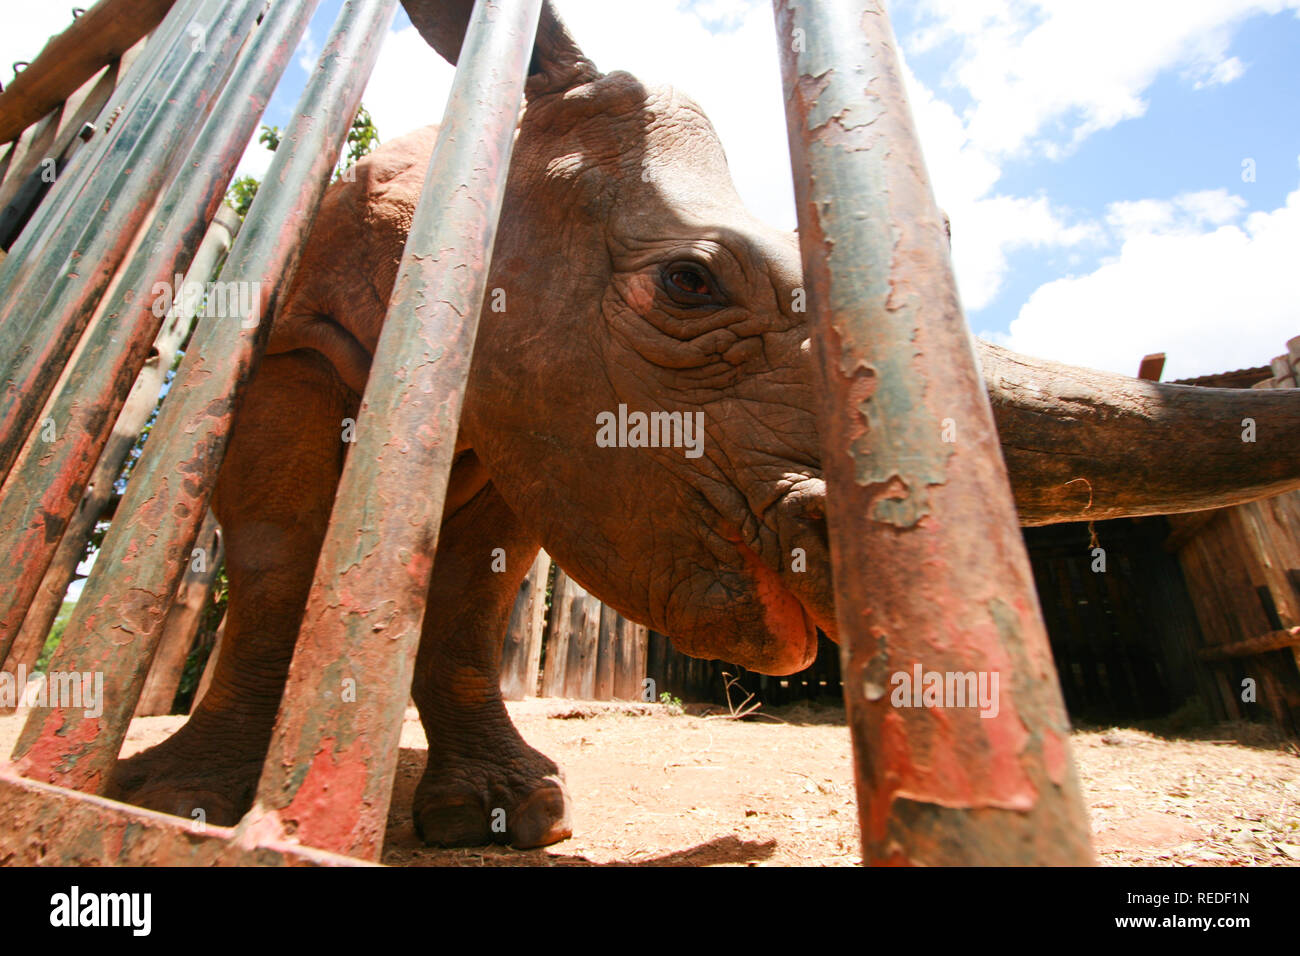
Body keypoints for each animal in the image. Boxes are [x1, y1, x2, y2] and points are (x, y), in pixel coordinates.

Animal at [108, 1, 1300, 849]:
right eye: (687, 283)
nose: (849, 542)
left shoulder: (526, 427)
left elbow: (470, 599)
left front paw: (510, 816)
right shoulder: (303, 345)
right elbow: (274, 556)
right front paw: (178, 804)